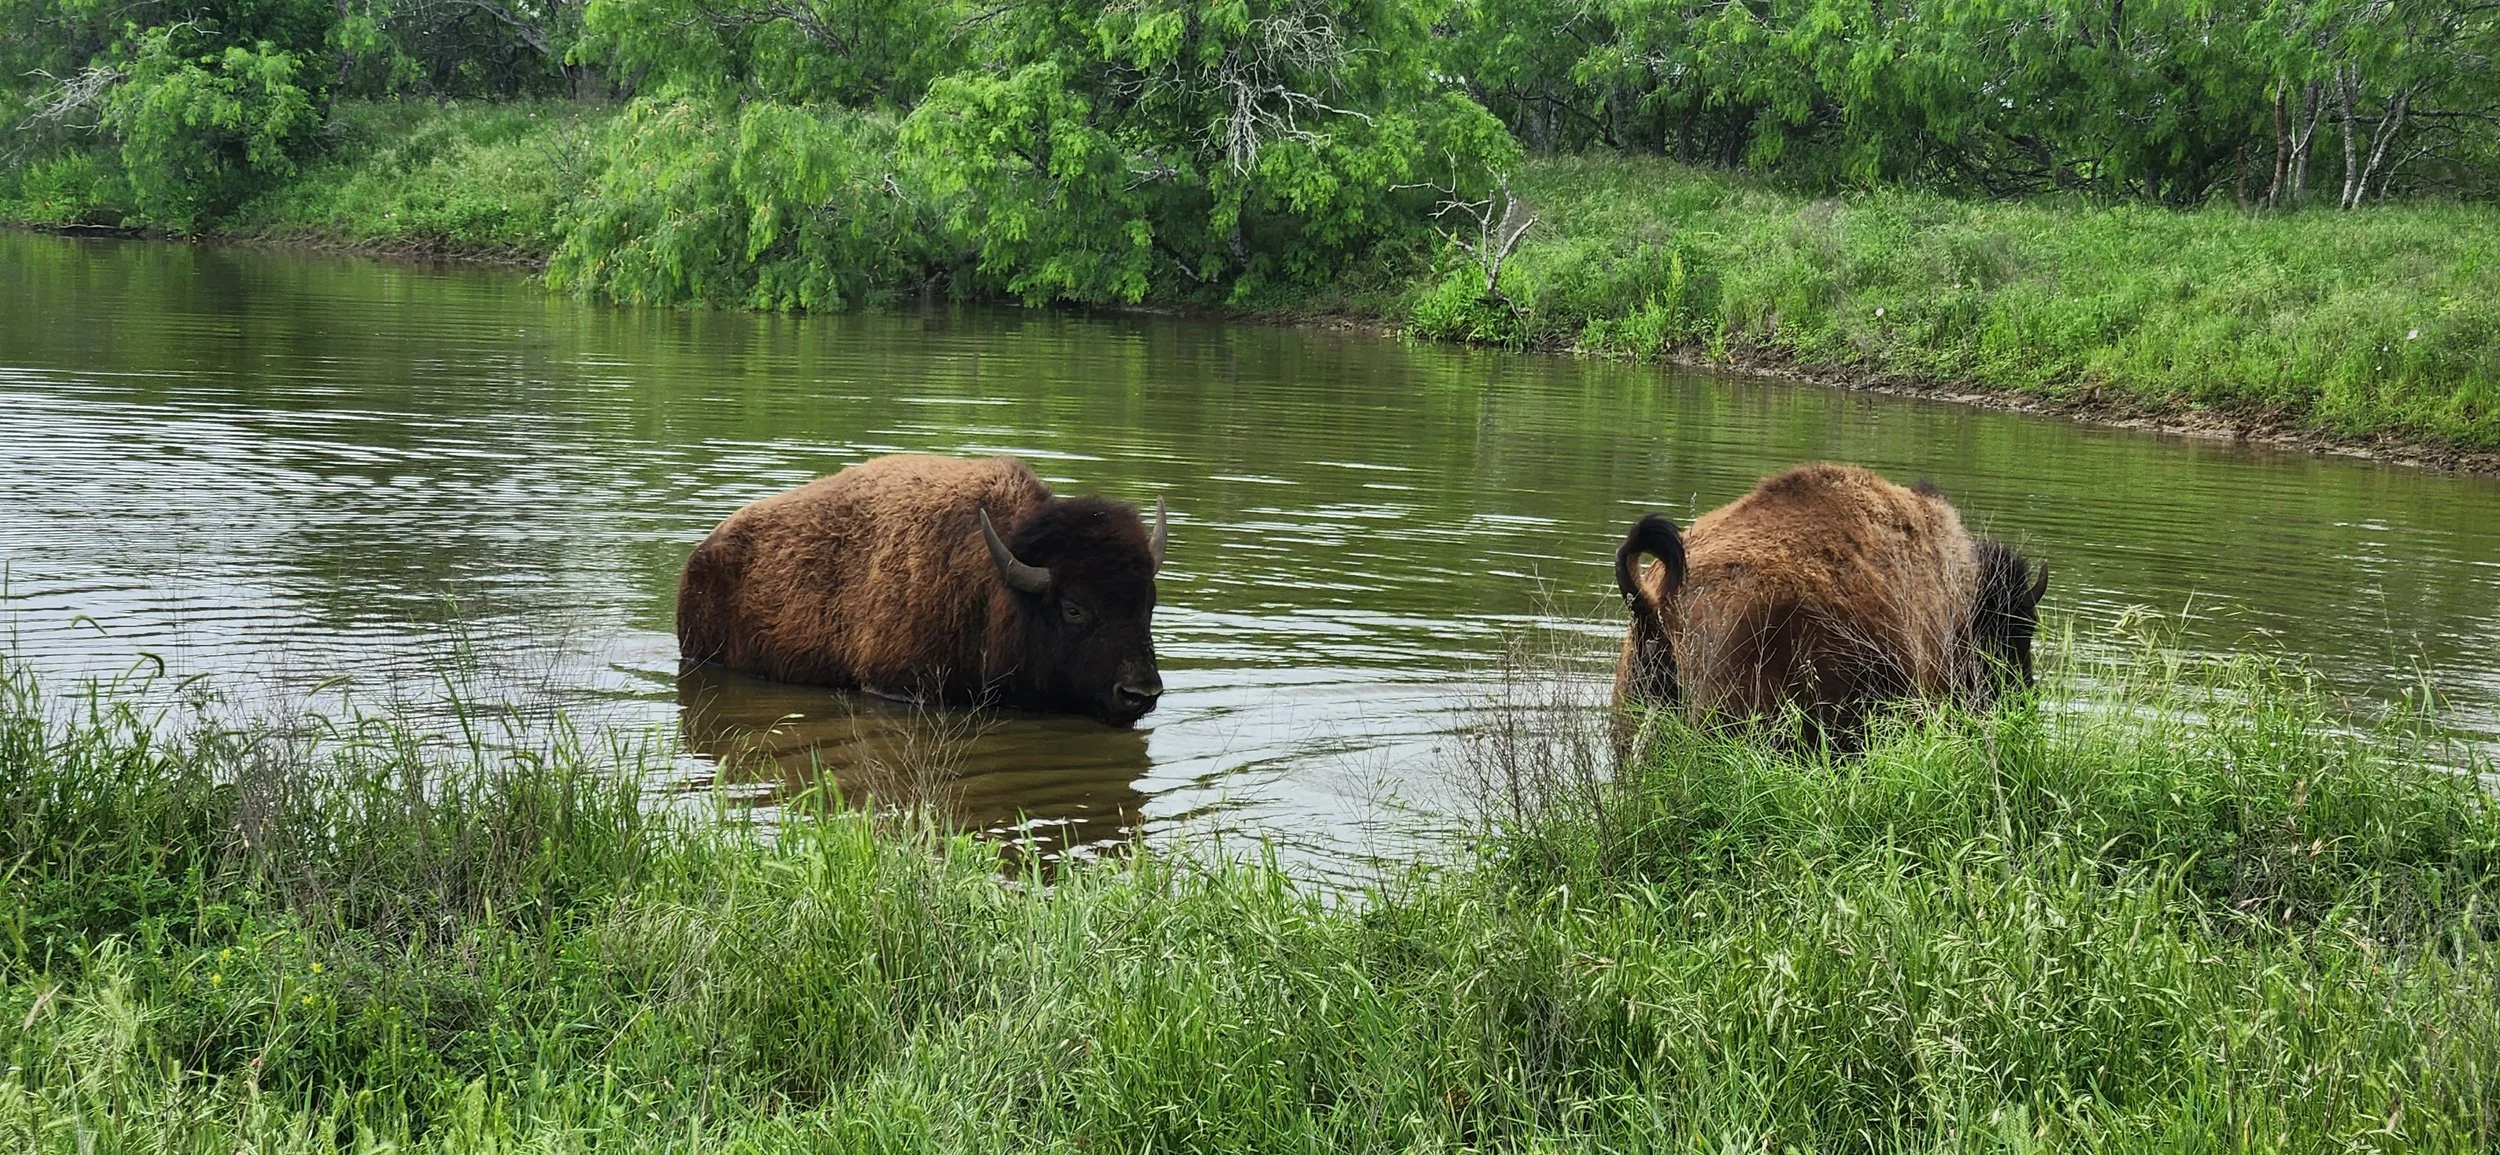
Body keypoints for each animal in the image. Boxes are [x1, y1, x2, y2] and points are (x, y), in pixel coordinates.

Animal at [676, 454, 1168, 726]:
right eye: (1073, 608)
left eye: (1148, 604)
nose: (1141, 693)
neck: (994, 579)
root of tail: (701, 555)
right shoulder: (896, 685)